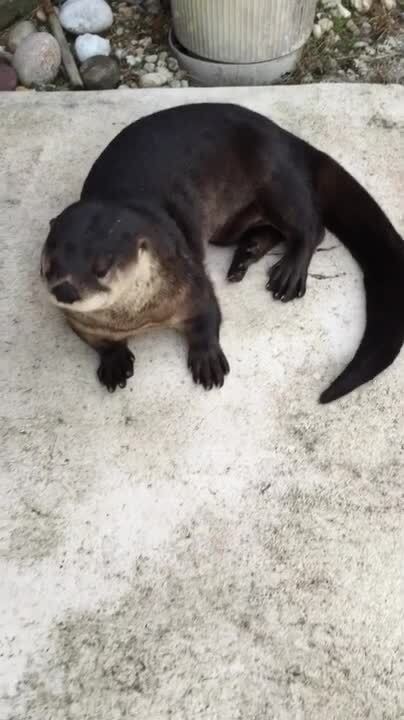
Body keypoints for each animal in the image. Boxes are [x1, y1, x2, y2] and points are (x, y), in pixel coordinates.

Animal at [41, 103, 404, 403]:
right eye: (49, 266)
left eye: (101, 267)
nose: (65, 289)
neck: (137, 318)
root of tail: (288, 138)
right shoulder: (79, 322)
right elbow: (98, 342)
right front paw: (114, 361)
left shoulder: (192, 284)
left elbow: (208, 318)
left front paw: (208, 361)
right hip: (230, 224)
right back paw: (245, 256)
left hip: (276, 177)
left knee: (311, 226)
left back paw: (288, 273)